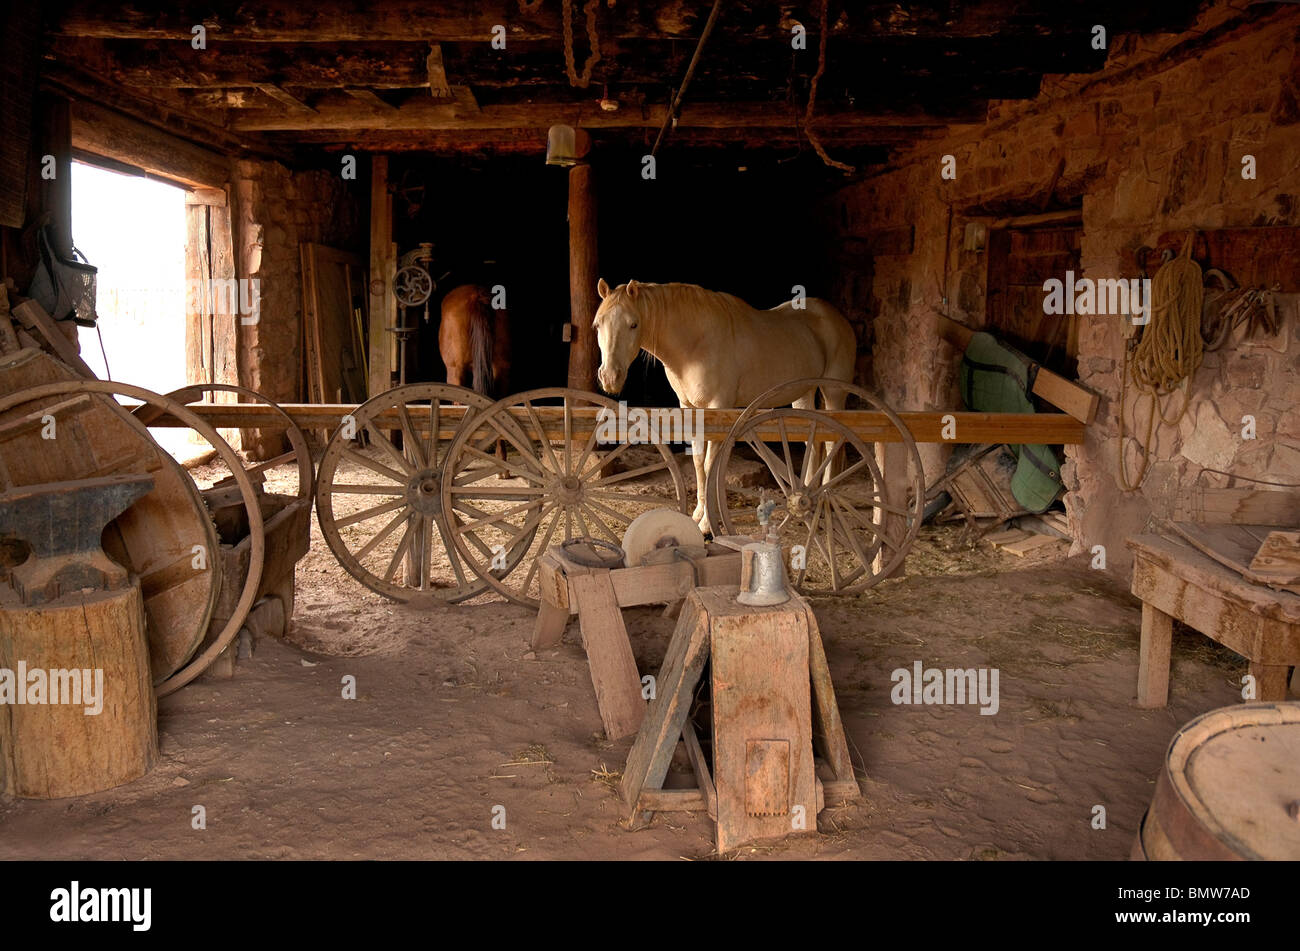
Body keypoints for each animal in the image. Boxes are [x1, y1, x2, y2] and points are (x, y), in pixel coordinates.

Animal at [592, 279, 856, 534]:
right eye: (597, 325)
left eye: (633, 324)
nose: (610, 377)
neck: (696, 344)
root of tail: (836, 317)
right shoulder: (691, 409)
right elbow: (698, 462)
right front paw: (698, 514)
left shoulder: (718, 407)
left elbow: (710, 465)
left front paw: (707, 525)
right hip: (803, 394)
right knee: (814, 440)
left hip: (834, 393)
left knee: (832, 441)